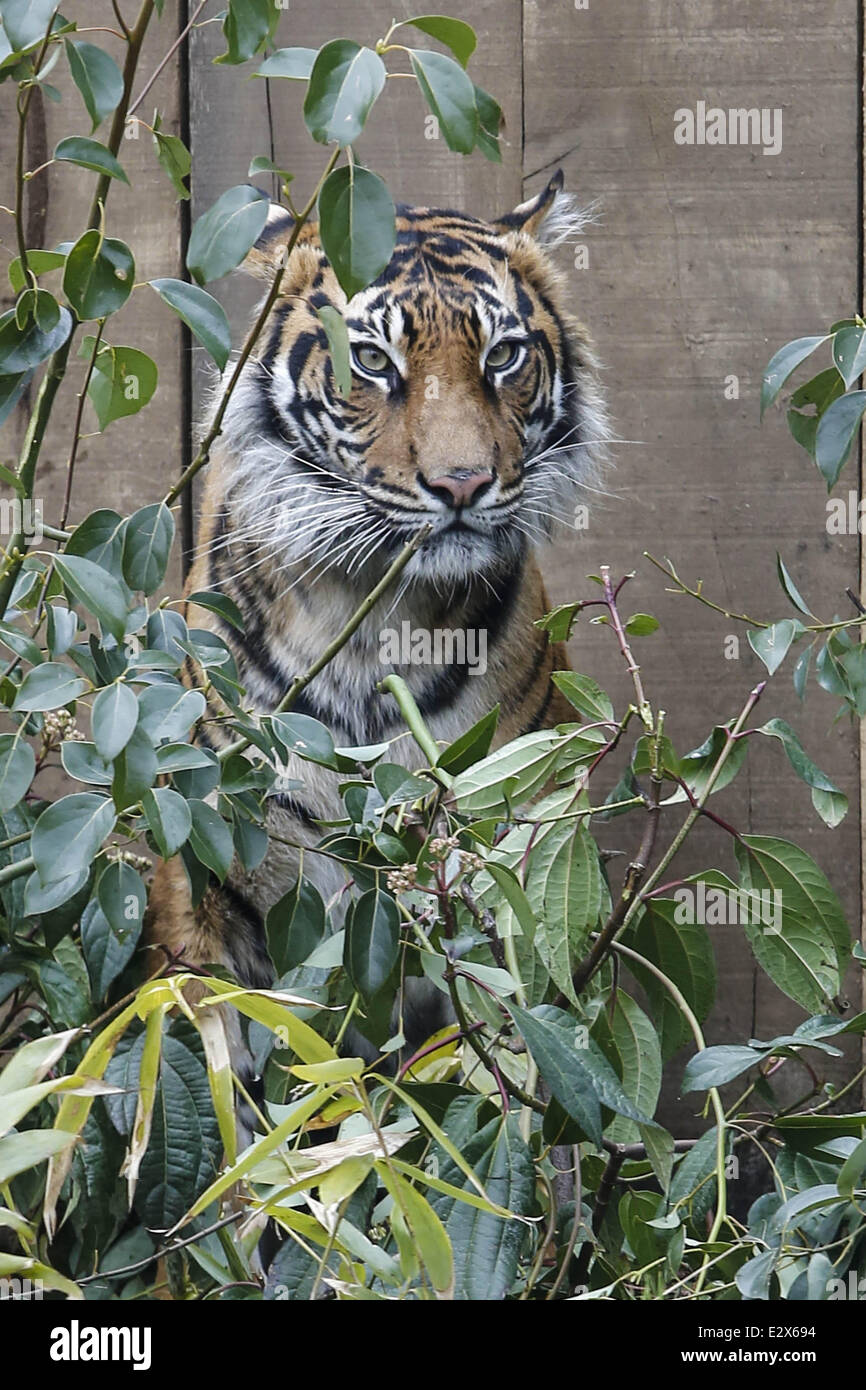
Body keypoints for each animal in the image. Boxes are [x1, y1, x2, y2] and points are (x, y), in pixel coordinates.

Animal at [146, 169, 609, 1066]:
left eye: (503, 356)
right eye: (371, 360)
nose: (464, 484)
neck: (371, 617)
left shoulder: (519, 876)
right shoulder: (209, 888)